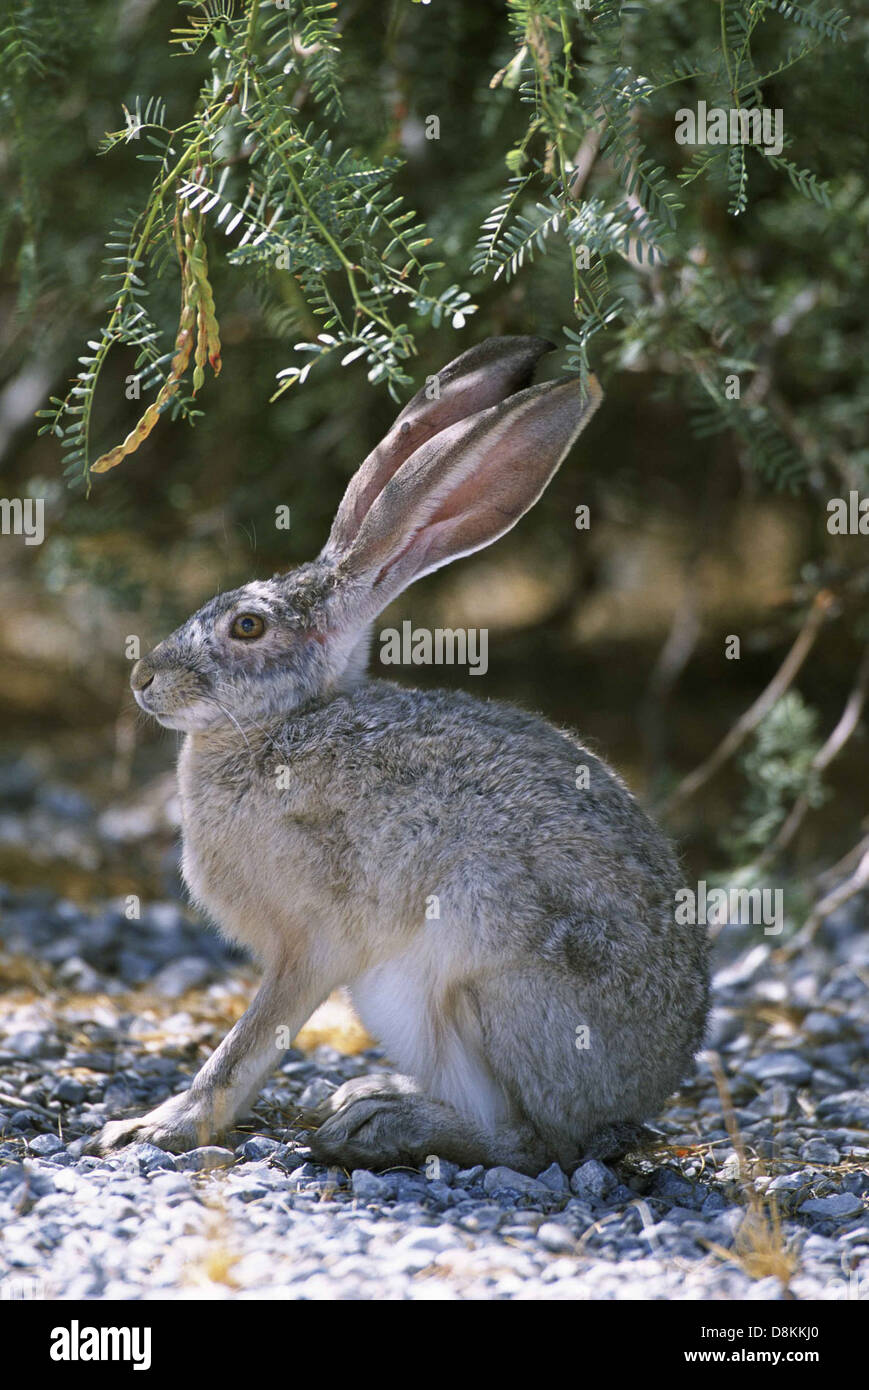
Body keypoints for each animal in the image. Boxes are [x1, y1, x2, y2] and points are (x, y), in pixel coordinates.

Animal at [90, 335, 709, 1175]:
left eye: (246, 627)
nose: (144, 680)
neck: (280, 726)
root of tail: (640, 1098)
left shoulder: (310, 944)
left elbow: (247, 1044)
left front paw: (156, 1127)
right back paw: (367, 1097)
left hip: (480, 985)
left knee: (535, 1142)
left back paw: (380, 1127)